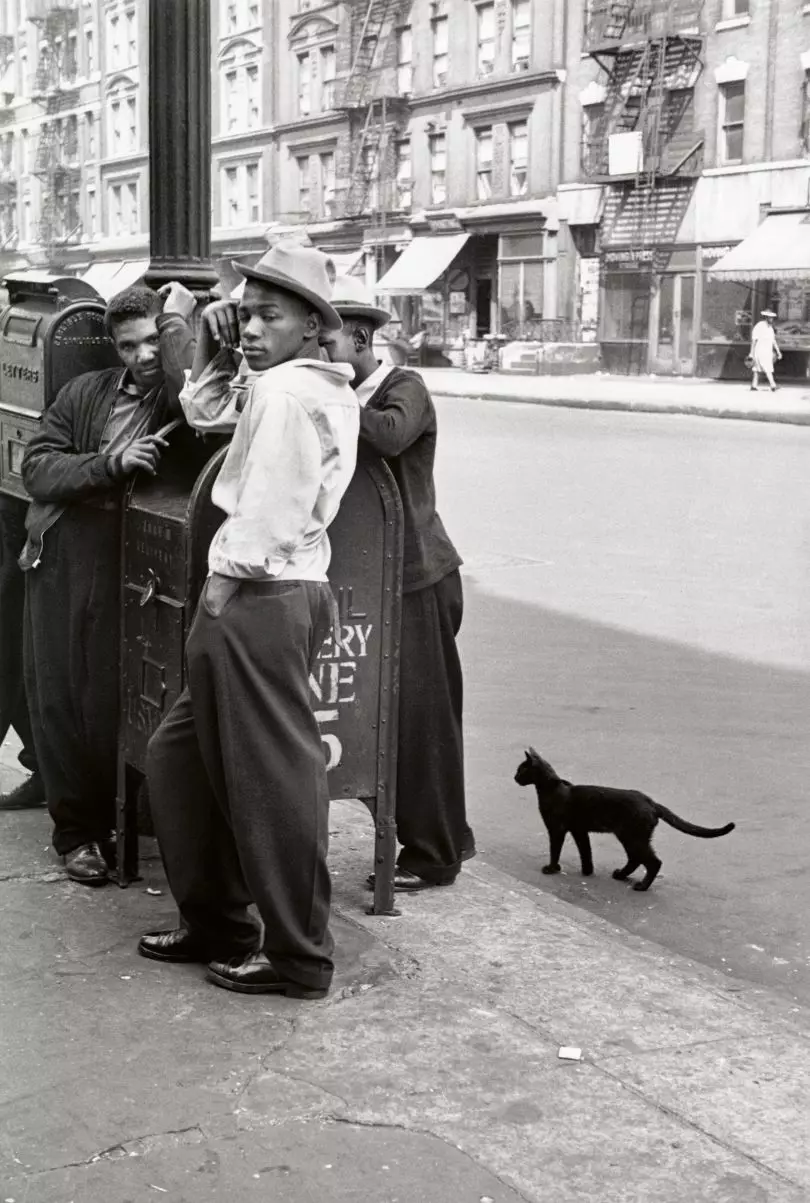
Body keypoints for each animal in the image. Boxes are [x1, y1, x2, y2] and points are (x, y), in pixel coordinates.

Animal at [515, 745, 736, 890]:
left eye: (520, 770)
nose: (514, 777)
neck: (552, 789)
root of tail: (651, 802)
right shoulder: (579, 830)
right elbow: (586, 852)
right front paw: (587, 871)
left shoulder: (556, 829)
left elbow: (555, 850)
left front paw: (552, 868)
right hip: (631, 837)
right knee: (636, 859)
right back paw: (620, 875)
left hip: (632, 836)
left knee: (653, 862)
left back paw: (641, 886)